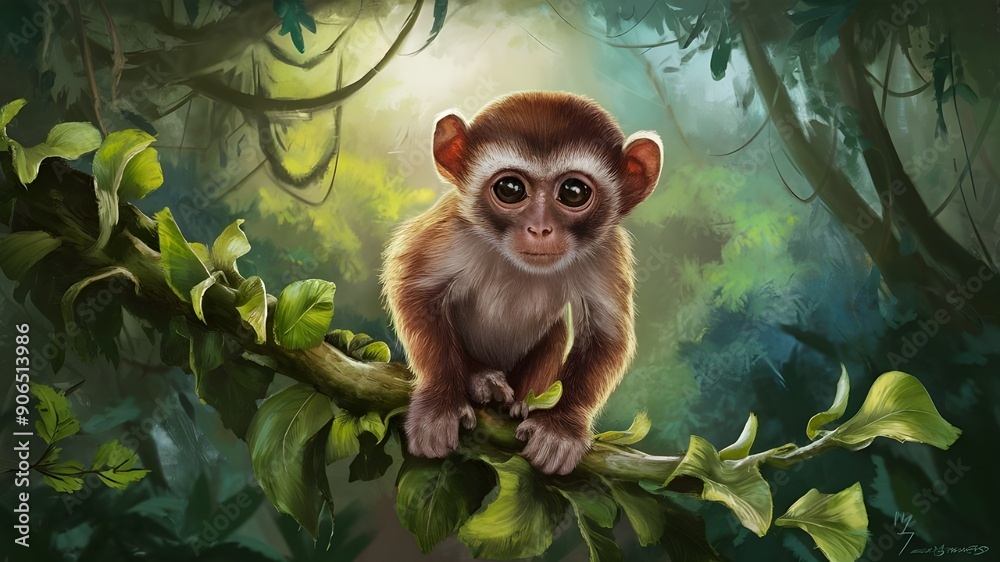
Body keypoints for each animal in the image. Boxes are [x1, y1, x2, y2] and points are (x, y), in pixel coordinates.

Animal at [380, 91, 662, 475]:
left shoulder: (607, 250)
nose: (540, 229)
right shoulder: (452, 226)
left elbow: (606, 335)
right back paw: (480, 379)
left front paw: (560, 429)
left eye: (573, 192)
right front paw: (440, 403)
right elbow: (413, 290)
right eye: (510, 188)